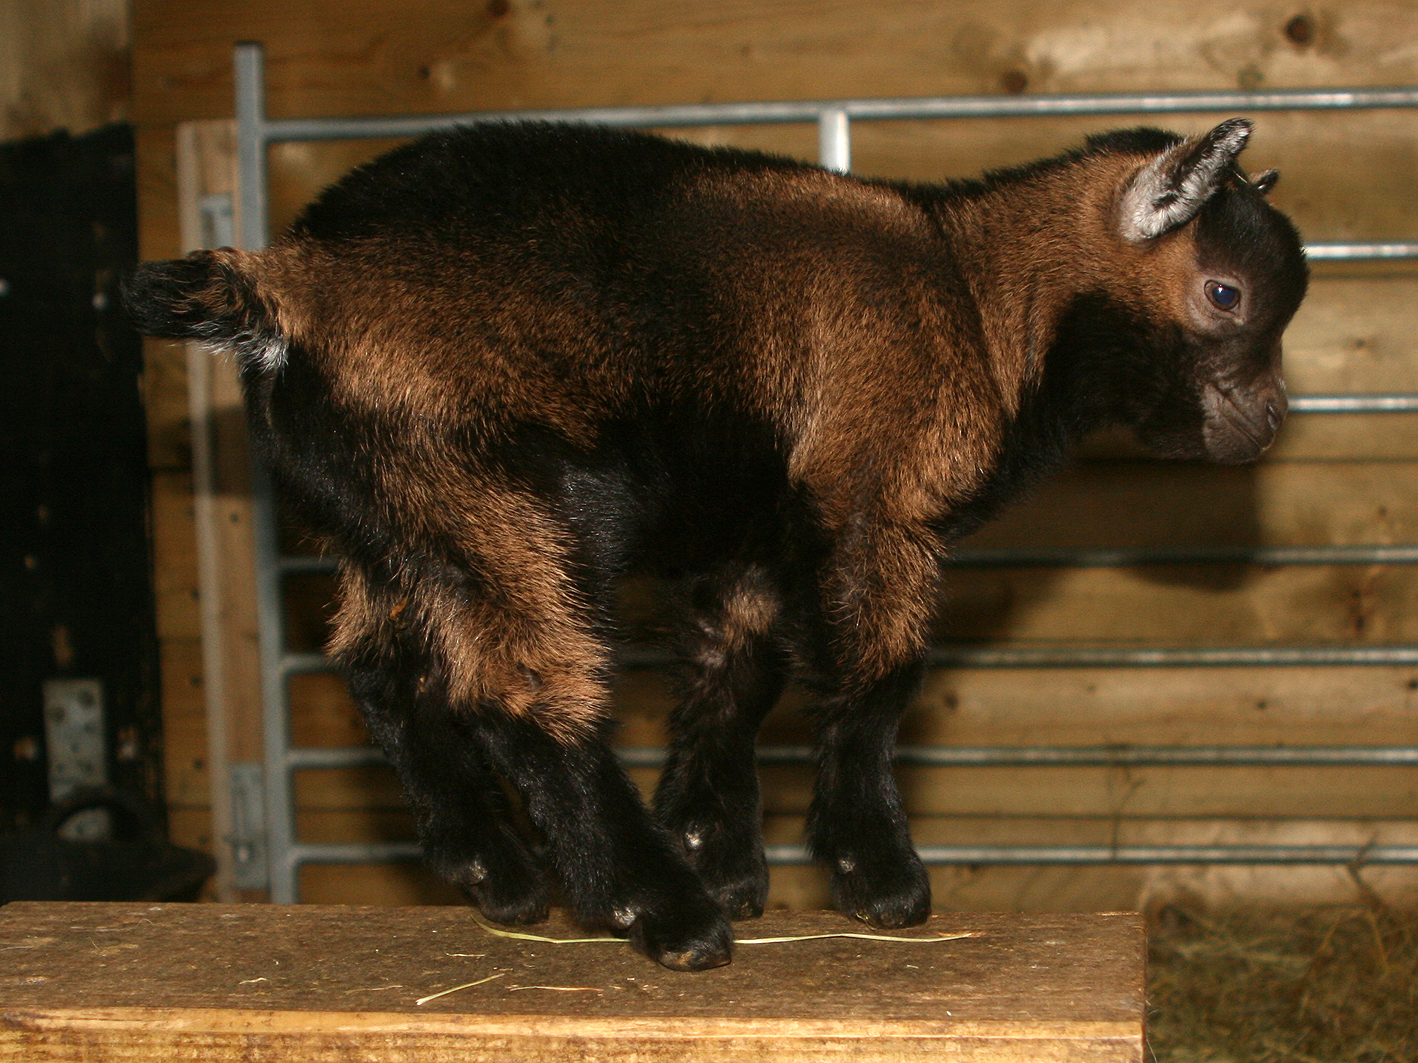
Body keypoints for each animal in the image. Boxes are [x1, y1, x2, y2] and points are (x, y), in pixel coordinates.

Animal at [125, 116, 1308, 969]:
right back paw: (662, 912)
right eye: (1223, 292)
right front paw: (874, 875)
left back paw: (499, 868)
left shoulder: (748, 535)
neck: (980, 306)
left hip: (393, 510)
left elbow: (737, 674)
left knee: (382, 668)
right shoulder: (876, 498)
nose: (1266, 425)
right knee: (522, 693)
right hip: (494, 488)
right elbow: (879, 679)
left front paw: (718, 842)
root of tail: (289, 283)